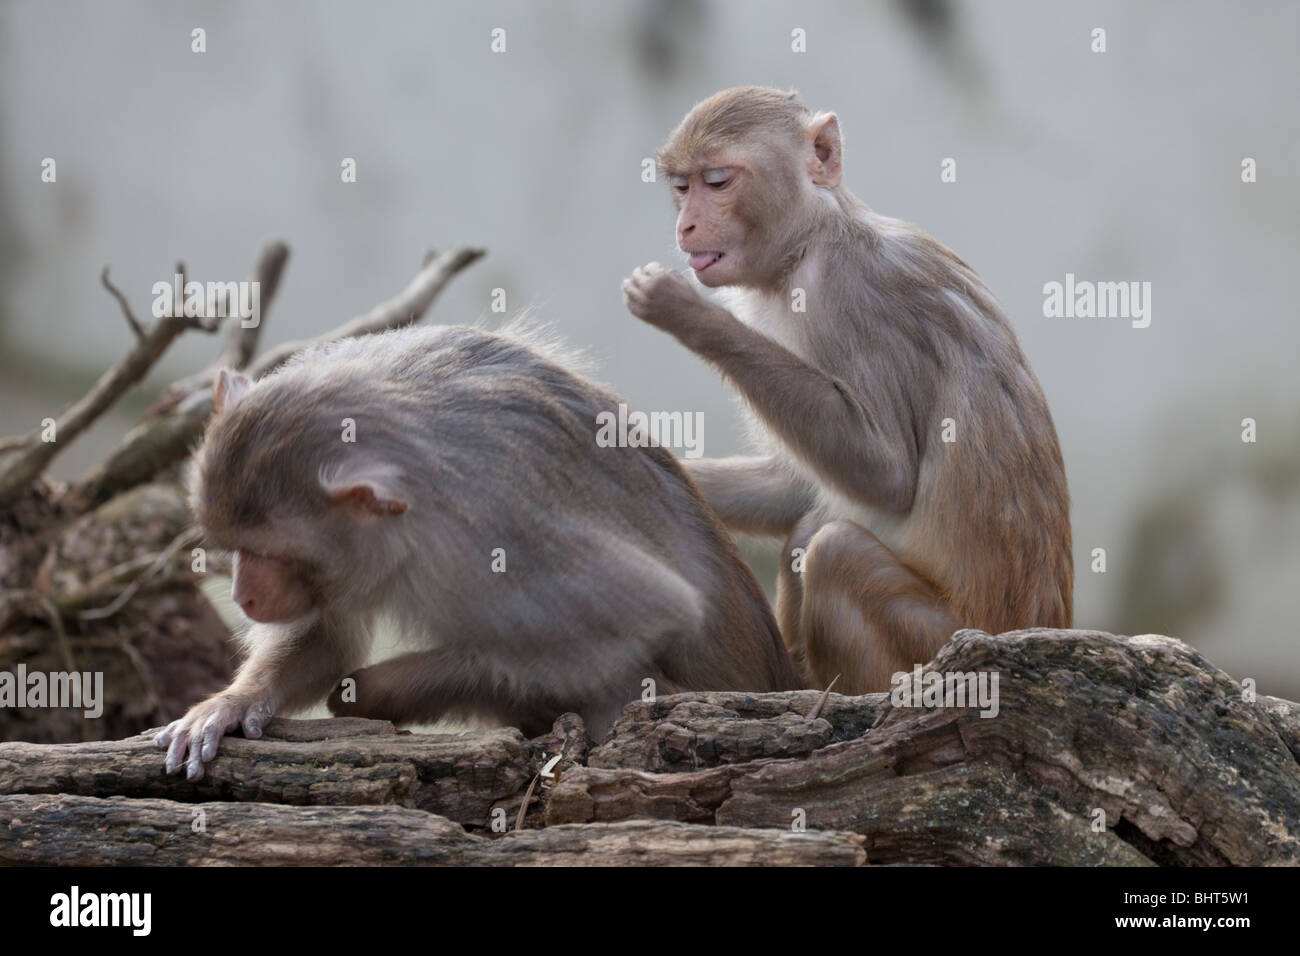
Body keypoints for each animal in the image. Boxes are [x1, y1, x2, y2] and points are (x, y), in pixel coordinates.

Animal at [156, 322, 802, 780]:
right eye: (235, 550)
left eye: (275, 555)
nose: (244, 596)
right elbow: (328, 639)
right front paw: (233, 703)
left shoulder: (499, 532)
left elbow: (652, 615)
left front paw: (387, 688)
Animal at [622, 86, 1072, 695]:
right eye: (681, 186)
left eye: (717, 181)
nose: (686, 227)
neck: (815, 234)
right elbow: (800, 483)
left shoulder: (847, 292)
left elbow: (886, 475)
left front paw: (690, 315)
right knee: (812, 527)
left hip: (936, 639)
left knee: (835, 550)